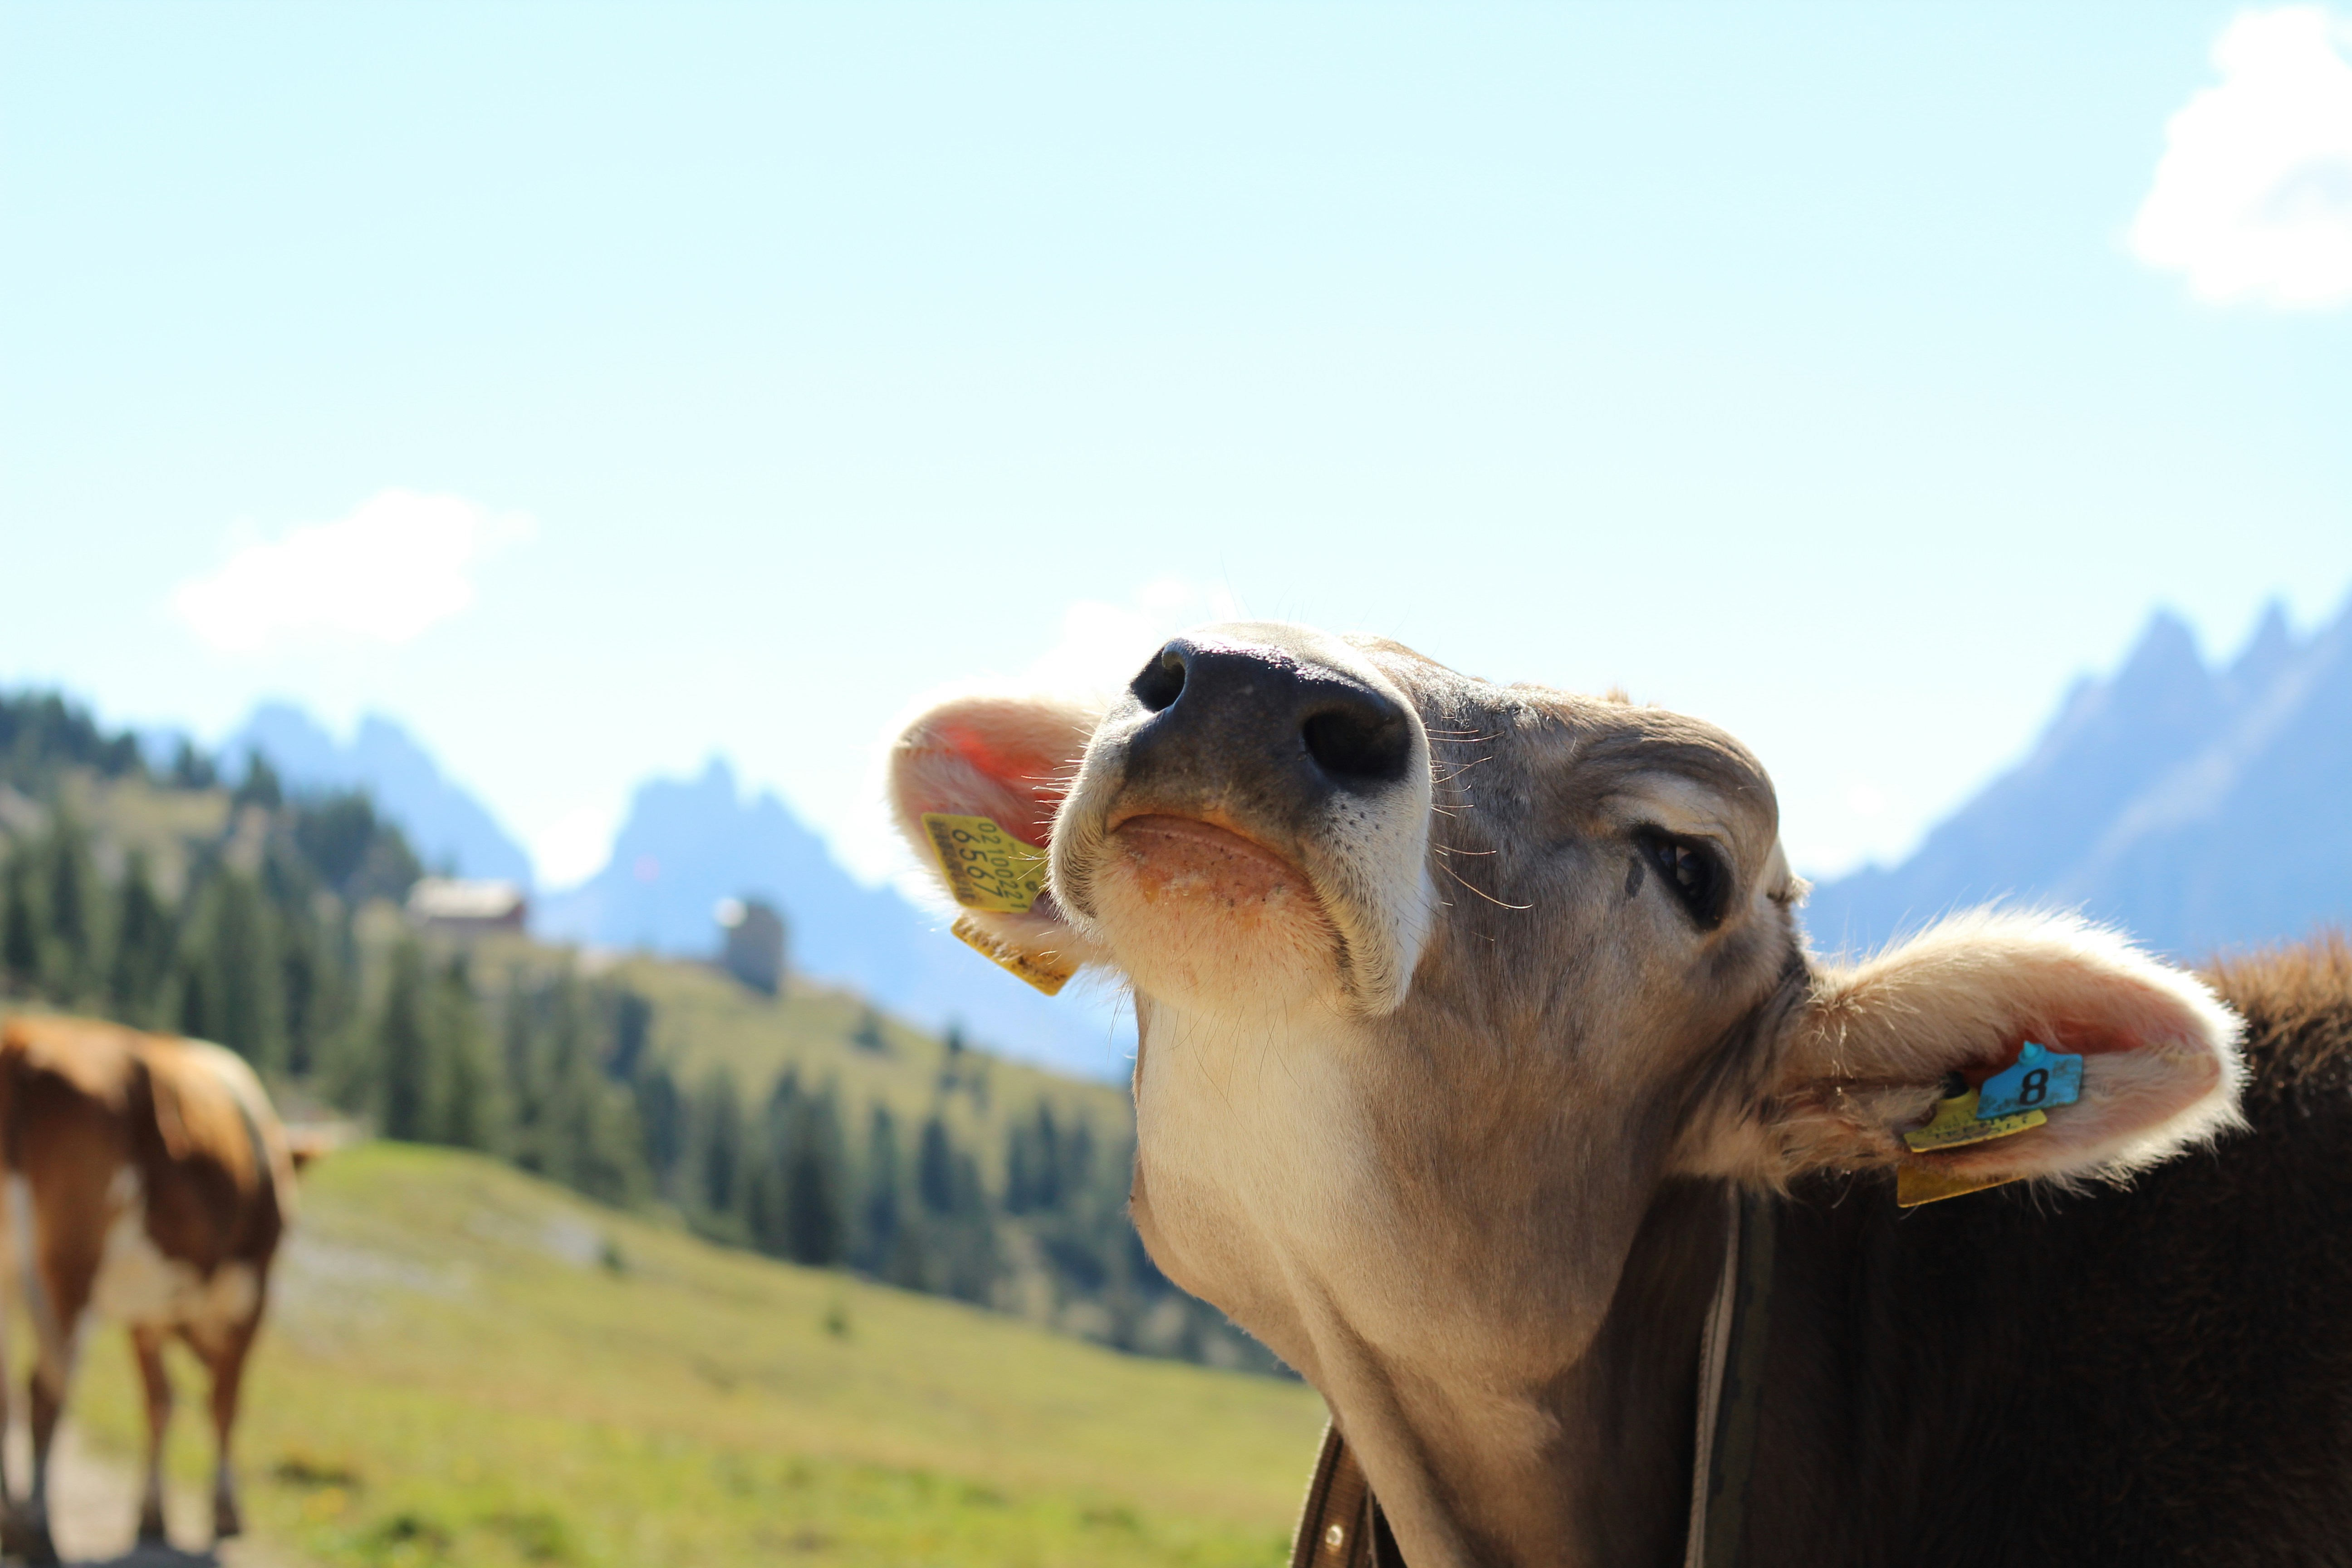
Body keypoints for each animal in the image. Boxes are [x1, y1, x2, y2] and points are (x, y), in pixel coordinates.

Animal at [0, 1015, 306, 1564]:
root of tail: (23, 1036)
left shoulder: (148, 1311)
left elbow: (159, 1402)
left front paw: (152, 1517)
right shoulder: (253, 1292)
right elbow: (224, 1402)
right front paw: (225, 1511)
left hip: (17, 1270)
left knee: (8, 1394)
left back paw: (12, 1523)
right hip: (72, 1260)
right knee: (45, 1387)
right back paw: (37, 1529)